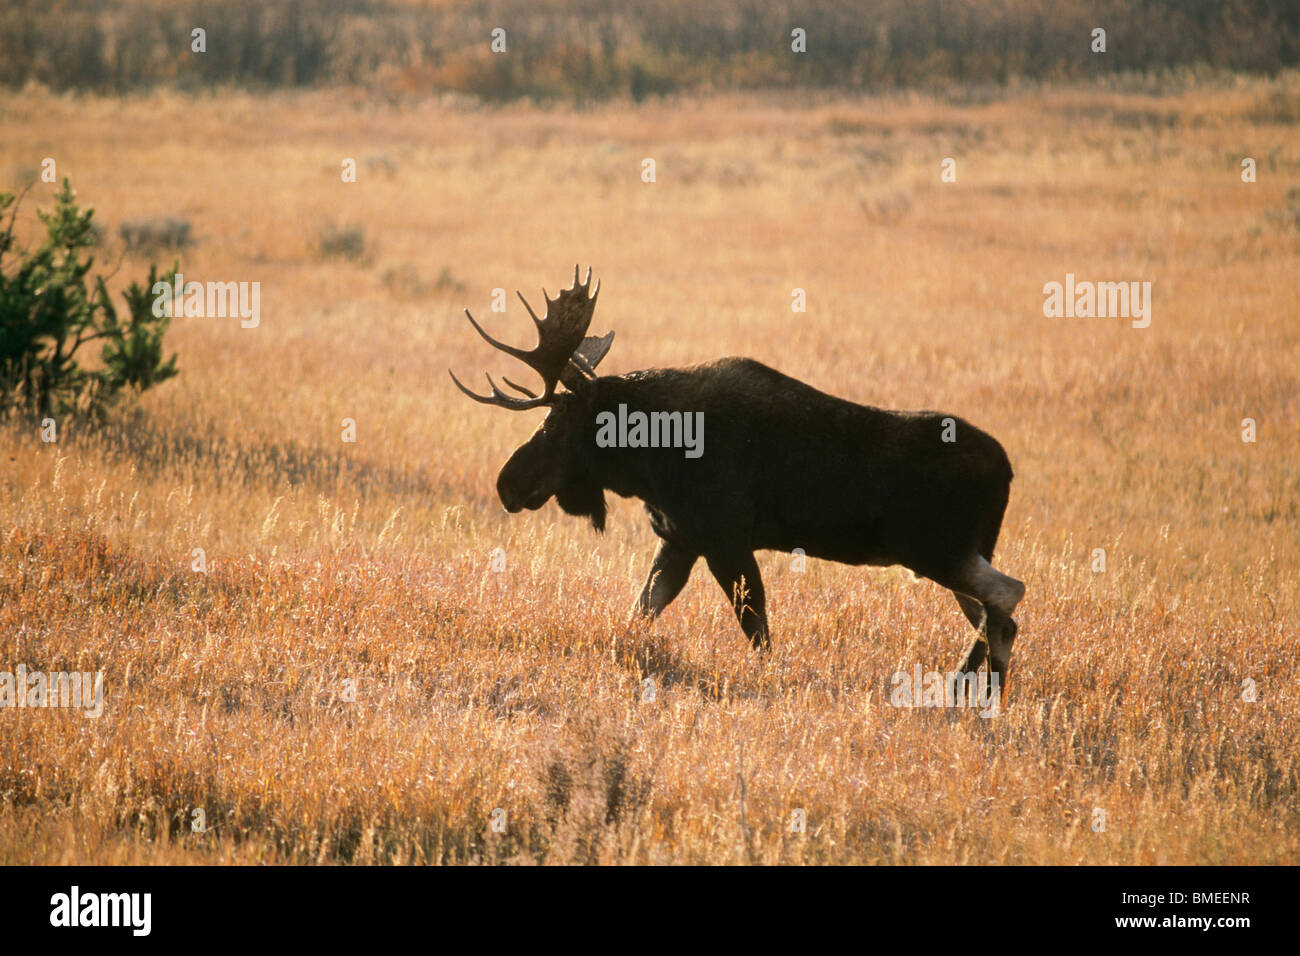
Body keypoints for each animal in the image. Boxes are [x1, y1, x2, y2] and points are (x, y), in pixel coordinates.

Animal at [451, 267, 1026, 688]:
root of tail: (1008, 469)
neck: (650, 456)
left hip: (935, 550)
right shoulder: (679, 540)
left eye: (558, 423)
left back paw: (967, 687)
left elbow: (757, 629)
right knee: (994, 613)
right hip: (958, 552)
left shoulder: (725, 539)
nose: (507, 484)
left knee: (1007, 596)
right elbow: (641, 611)